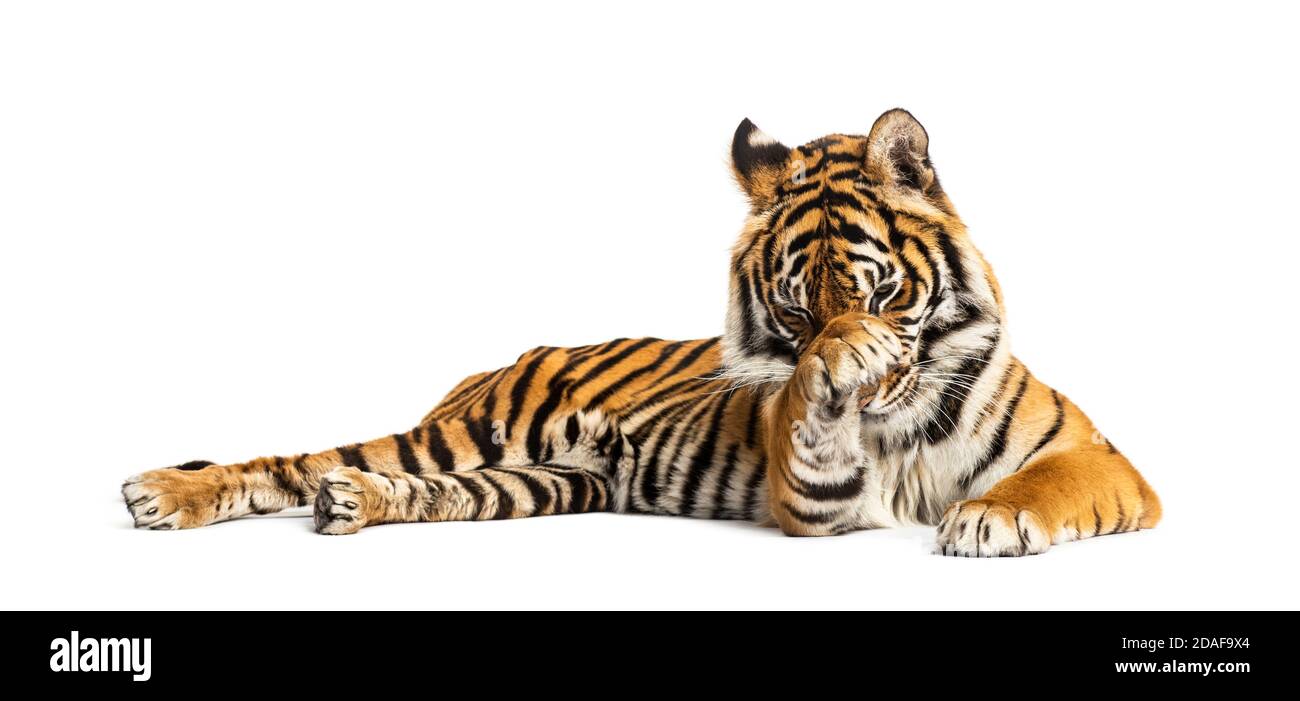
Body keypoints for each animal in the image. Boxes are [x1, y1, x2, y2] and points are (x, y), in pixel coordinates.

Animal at [122, 109, 1161, 556]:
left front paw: (984, 516)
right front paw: (838, 367)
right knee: (298, 459)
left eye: (885, 290)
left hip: (549, 479)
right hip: (466, 433)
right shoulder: (817, 501)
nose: (870, 375)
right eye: (797, 312)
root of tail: (492, 364)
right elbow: (815, 417)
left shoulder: (1103, 459)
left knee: (410, 490)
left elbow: (1047, 482)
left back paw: (350, 504)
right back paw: (164, 492)